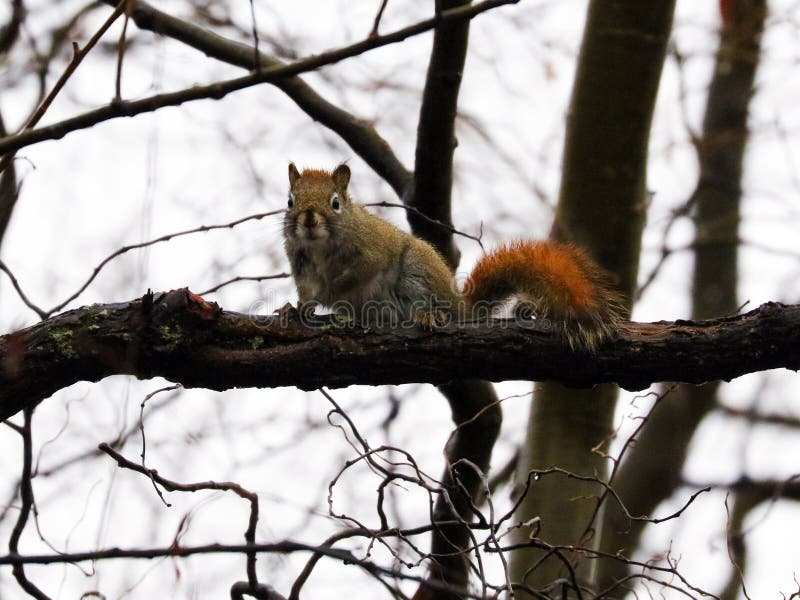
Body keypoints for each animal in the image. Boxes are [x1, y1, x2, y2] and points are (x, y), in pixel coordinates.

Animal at [282, 163, 625, 349]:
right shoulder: (301, 264)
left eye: (335, 203)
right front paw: (296, 307)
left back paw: (429, 315)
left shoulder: (373, 250)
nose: (309, 219)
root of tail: (461, 305)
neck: (319, 246)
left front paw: (331, 293)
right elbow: (307, 289)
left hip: (415, 271)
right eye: (289, 201)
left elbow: (357, 273)